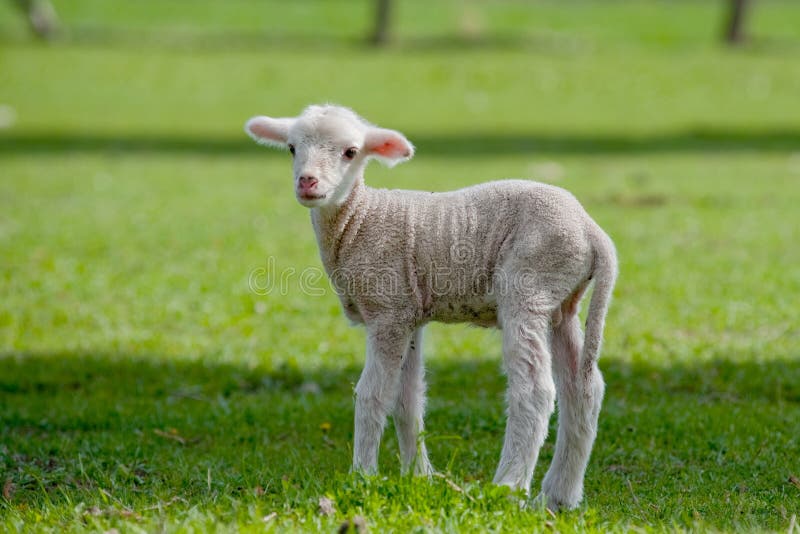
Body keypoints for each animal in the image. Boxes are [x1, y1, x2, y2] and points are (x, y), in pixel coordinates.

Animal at [244, 104, 617, 510]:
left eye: (350, 152)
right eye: (292, 148)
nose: (307, 182)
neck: (360, 219)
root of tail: (592, 232)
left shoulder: (388, 309)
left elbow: (372, 394)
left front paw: (362, 477)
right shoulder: (409, 313)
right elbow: (406, 399)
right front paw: (417, 476)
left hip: (529, 283)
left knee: (535, 390)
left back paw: (507, 486)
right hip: (562, 302)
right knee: (583, 389)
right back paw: (558, 496)